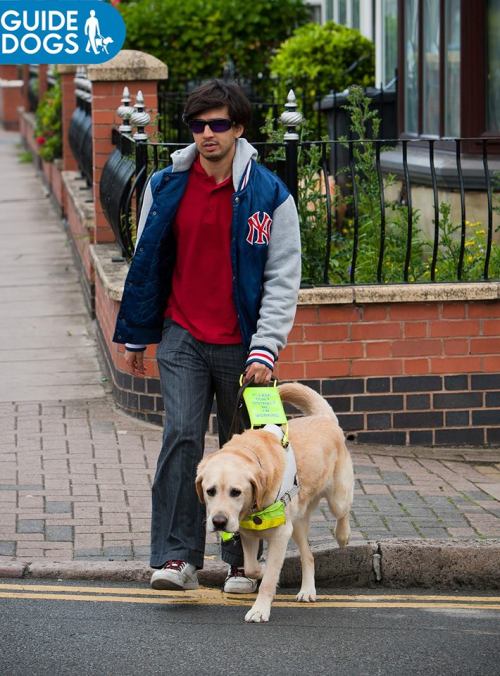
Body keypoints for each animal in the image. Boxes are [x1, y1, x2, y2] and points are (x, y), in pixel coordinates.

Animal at [193, 382, 354, 624]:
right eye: (210, 491)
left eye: (236, 492)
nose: (219, 522)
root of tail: (323, 418)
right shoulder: (248, 533)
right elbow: (251, 568)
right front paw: (259, 571)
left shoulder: (280, 534)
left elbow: (268, 580)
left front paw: (260, 609)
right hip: (297, 523)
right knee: (308, 556)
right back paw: (307, 590)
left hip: (337, 497)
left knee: (343, 513)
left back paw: (342, 536)